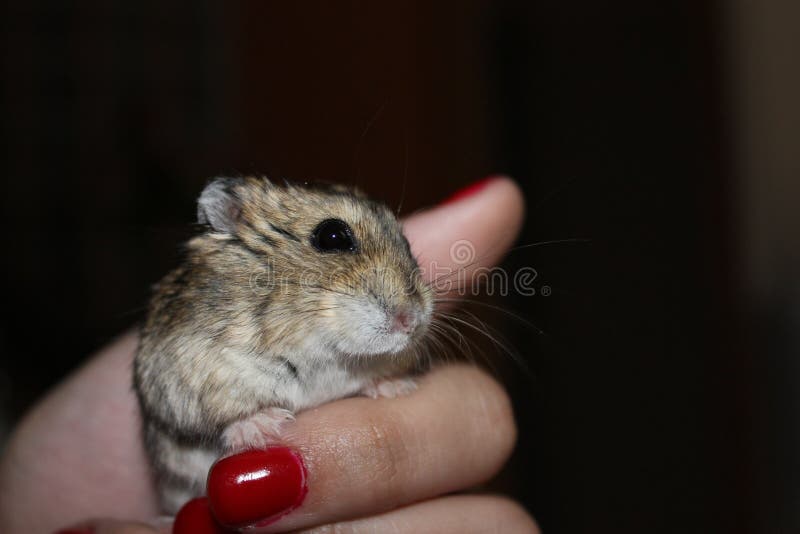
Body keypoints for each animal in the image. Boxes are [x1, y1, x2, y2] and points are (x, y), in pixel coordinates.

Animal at [133, 177, 434, 514]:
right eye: (332, 236)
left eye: (406, 242)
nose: (411, 320)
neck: (310, 342)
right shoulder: (185, 377)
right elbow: (219, 418)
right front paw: (266, 425)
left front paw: (397, 387)